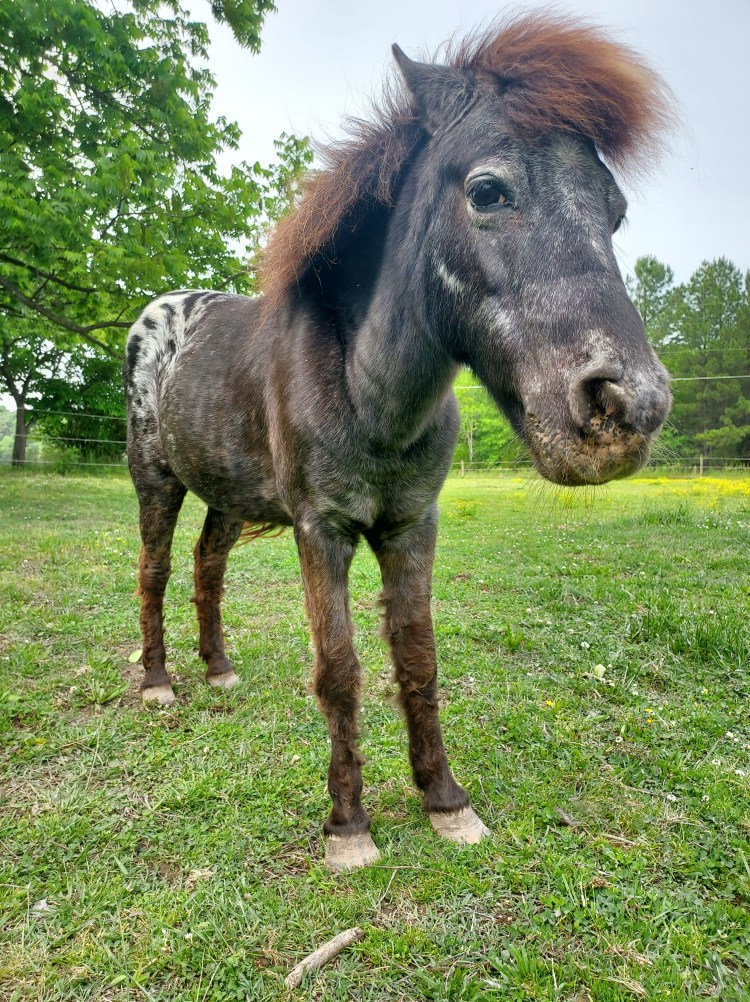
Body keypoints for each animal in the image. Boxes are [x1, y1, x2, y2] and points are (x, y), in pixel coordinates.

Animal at [124, 13, 673, 871]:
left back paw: (217, 669)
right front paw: (348, 825)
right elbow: (340, 668)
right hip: (155, 480)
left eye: (613, 211)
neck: (368, 393)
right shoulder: (322, 530)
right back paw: (158, 682)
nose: (630, 407)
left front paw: (445, 801)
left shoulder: (413, 525)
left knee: (207, 567)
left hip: (227, 494)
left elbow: (417, 657)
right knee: (153, 572)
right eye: (487, 191)